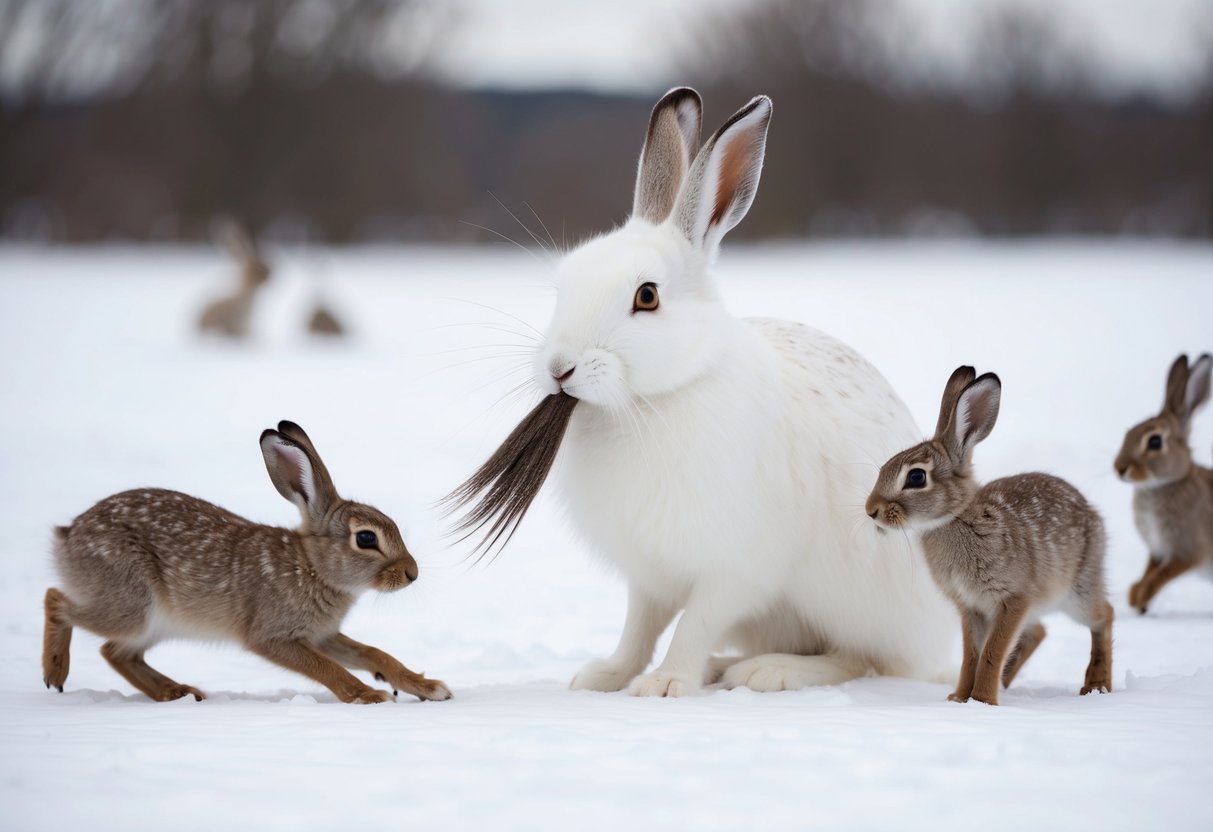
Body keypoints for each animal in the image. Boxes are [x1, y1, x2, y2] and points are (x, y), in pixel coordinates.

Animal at [42, 421, 451, 704]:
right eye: (366, 538)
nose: (412, 573)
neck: (314, 567)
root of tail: (69, 534)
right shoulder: (273, 635)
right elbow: (327, 668)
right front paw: (367, 696)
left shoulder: (322, 635)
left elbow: (372, 653)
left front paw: (428, 687)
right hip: (132, 604)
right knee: (58, 601)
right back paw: (55, 670)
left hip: (154, 623)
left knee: (117, 653)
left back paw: (178, 692)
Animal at [522, 87, 954, 697]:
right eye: (563, 286)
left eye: (647, 296)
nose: (560, 368)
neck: (663, 393)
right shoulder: (647, 573)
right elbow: (638, 628)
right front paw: (604, 676)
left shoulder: (735, 570)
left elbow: (693, 625)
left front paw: (666, 683)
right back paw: (723, 668)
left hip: (851, 599)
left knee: (859, 658)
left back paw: (766, 671)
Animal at [865, 367, 1113, 705]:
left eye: (916, 477)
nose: (871, 510)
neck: (955, 517)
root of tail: (1091, 513)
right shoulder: (971, 608)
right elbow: (971, 655)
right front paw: (959, 698)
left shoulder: (1013, 599)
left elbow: (991, 653)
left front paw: (982, 700)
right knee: (1039, 631)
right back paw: (1007, 685)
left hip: (1078, 591)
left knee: (1103, 617)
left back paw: (1097, 685)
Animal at [1115, 353, 1213, 614]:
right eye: (1128, 433)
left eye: (1155, 442)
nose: (1120, 468)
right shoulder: (1157, 549)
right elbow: (1150, 571)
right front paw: (1134, 596)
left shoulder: (1187, 550)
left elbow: (1160, 576)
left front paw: (1141, 600)